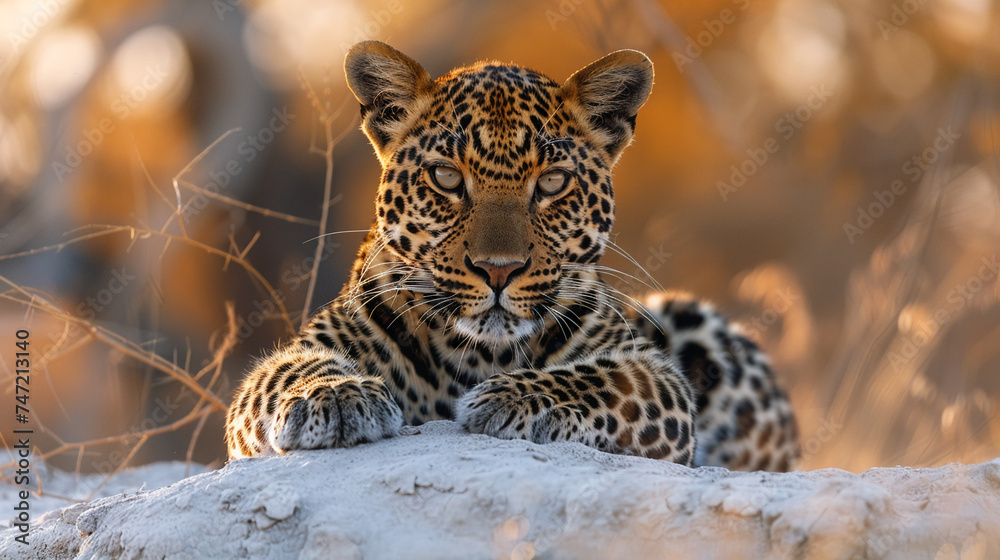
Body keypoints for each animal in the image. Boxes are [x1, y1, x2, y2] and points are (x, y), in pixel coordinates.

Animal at [224, 41, 799, 471]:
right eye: (447, 177)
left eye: (552, 183)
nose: (497, 271)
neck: (482, 353)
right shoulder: (283, 369)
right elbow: (283, 371)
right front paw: (334, 394)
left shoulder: (658, 378)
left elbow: (603, 379)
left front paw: (510, 398)